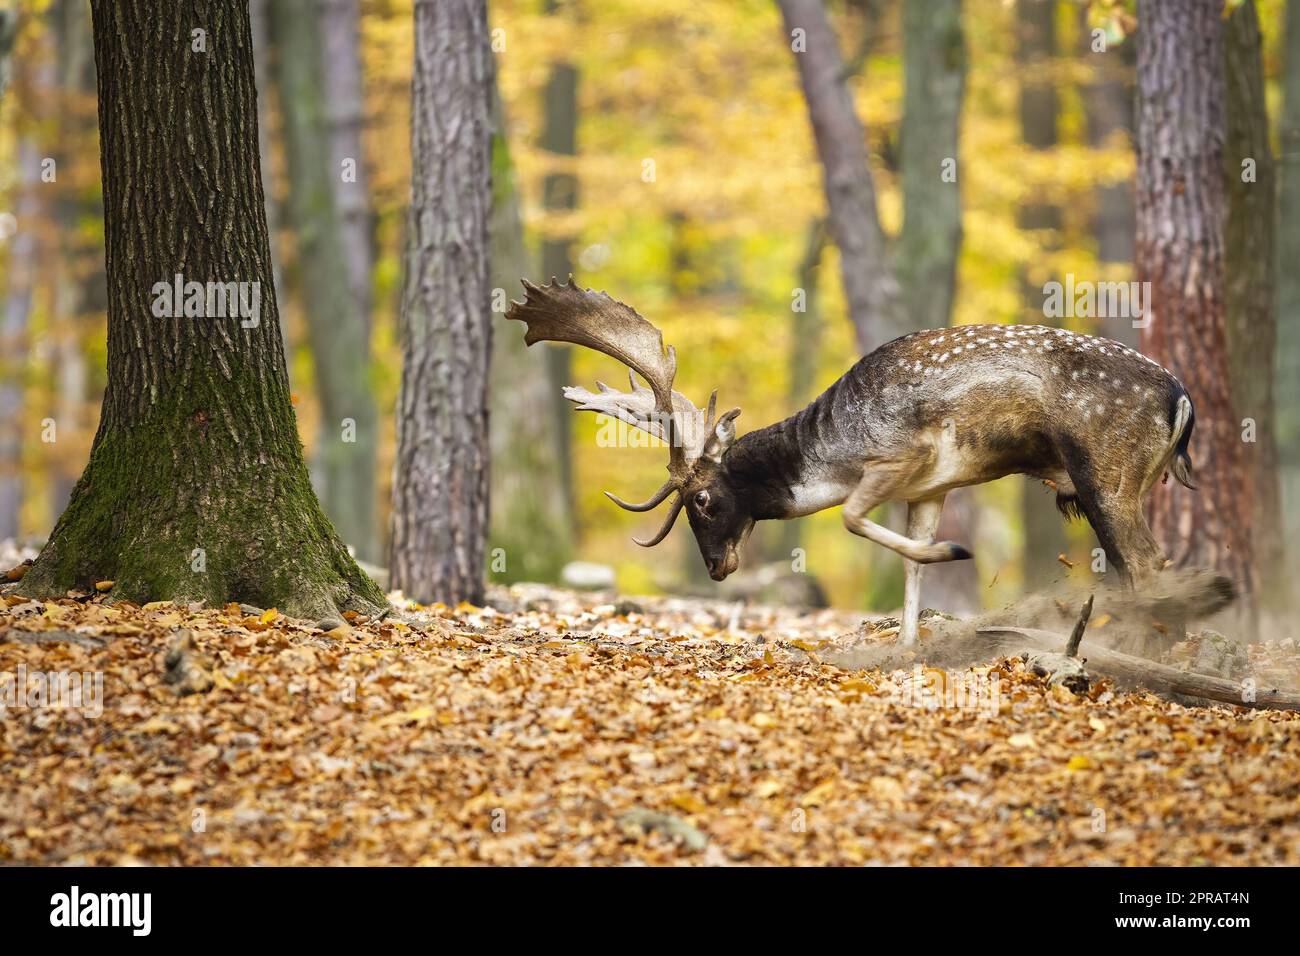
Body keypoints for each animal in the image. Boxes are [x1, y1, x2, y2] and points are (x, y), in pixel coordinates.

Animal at [505, 277, 1210, 647]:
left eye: (701, 500)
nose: (716, 569)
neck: (834, 447)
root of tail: (1183, 398)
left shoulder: (900, 457)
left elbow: (849, 518)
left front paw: (954, 554)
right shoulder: (932, 488)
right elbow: (910, 567)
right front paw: (906, 643)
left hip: (1107, 473)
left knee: (1148, 561)